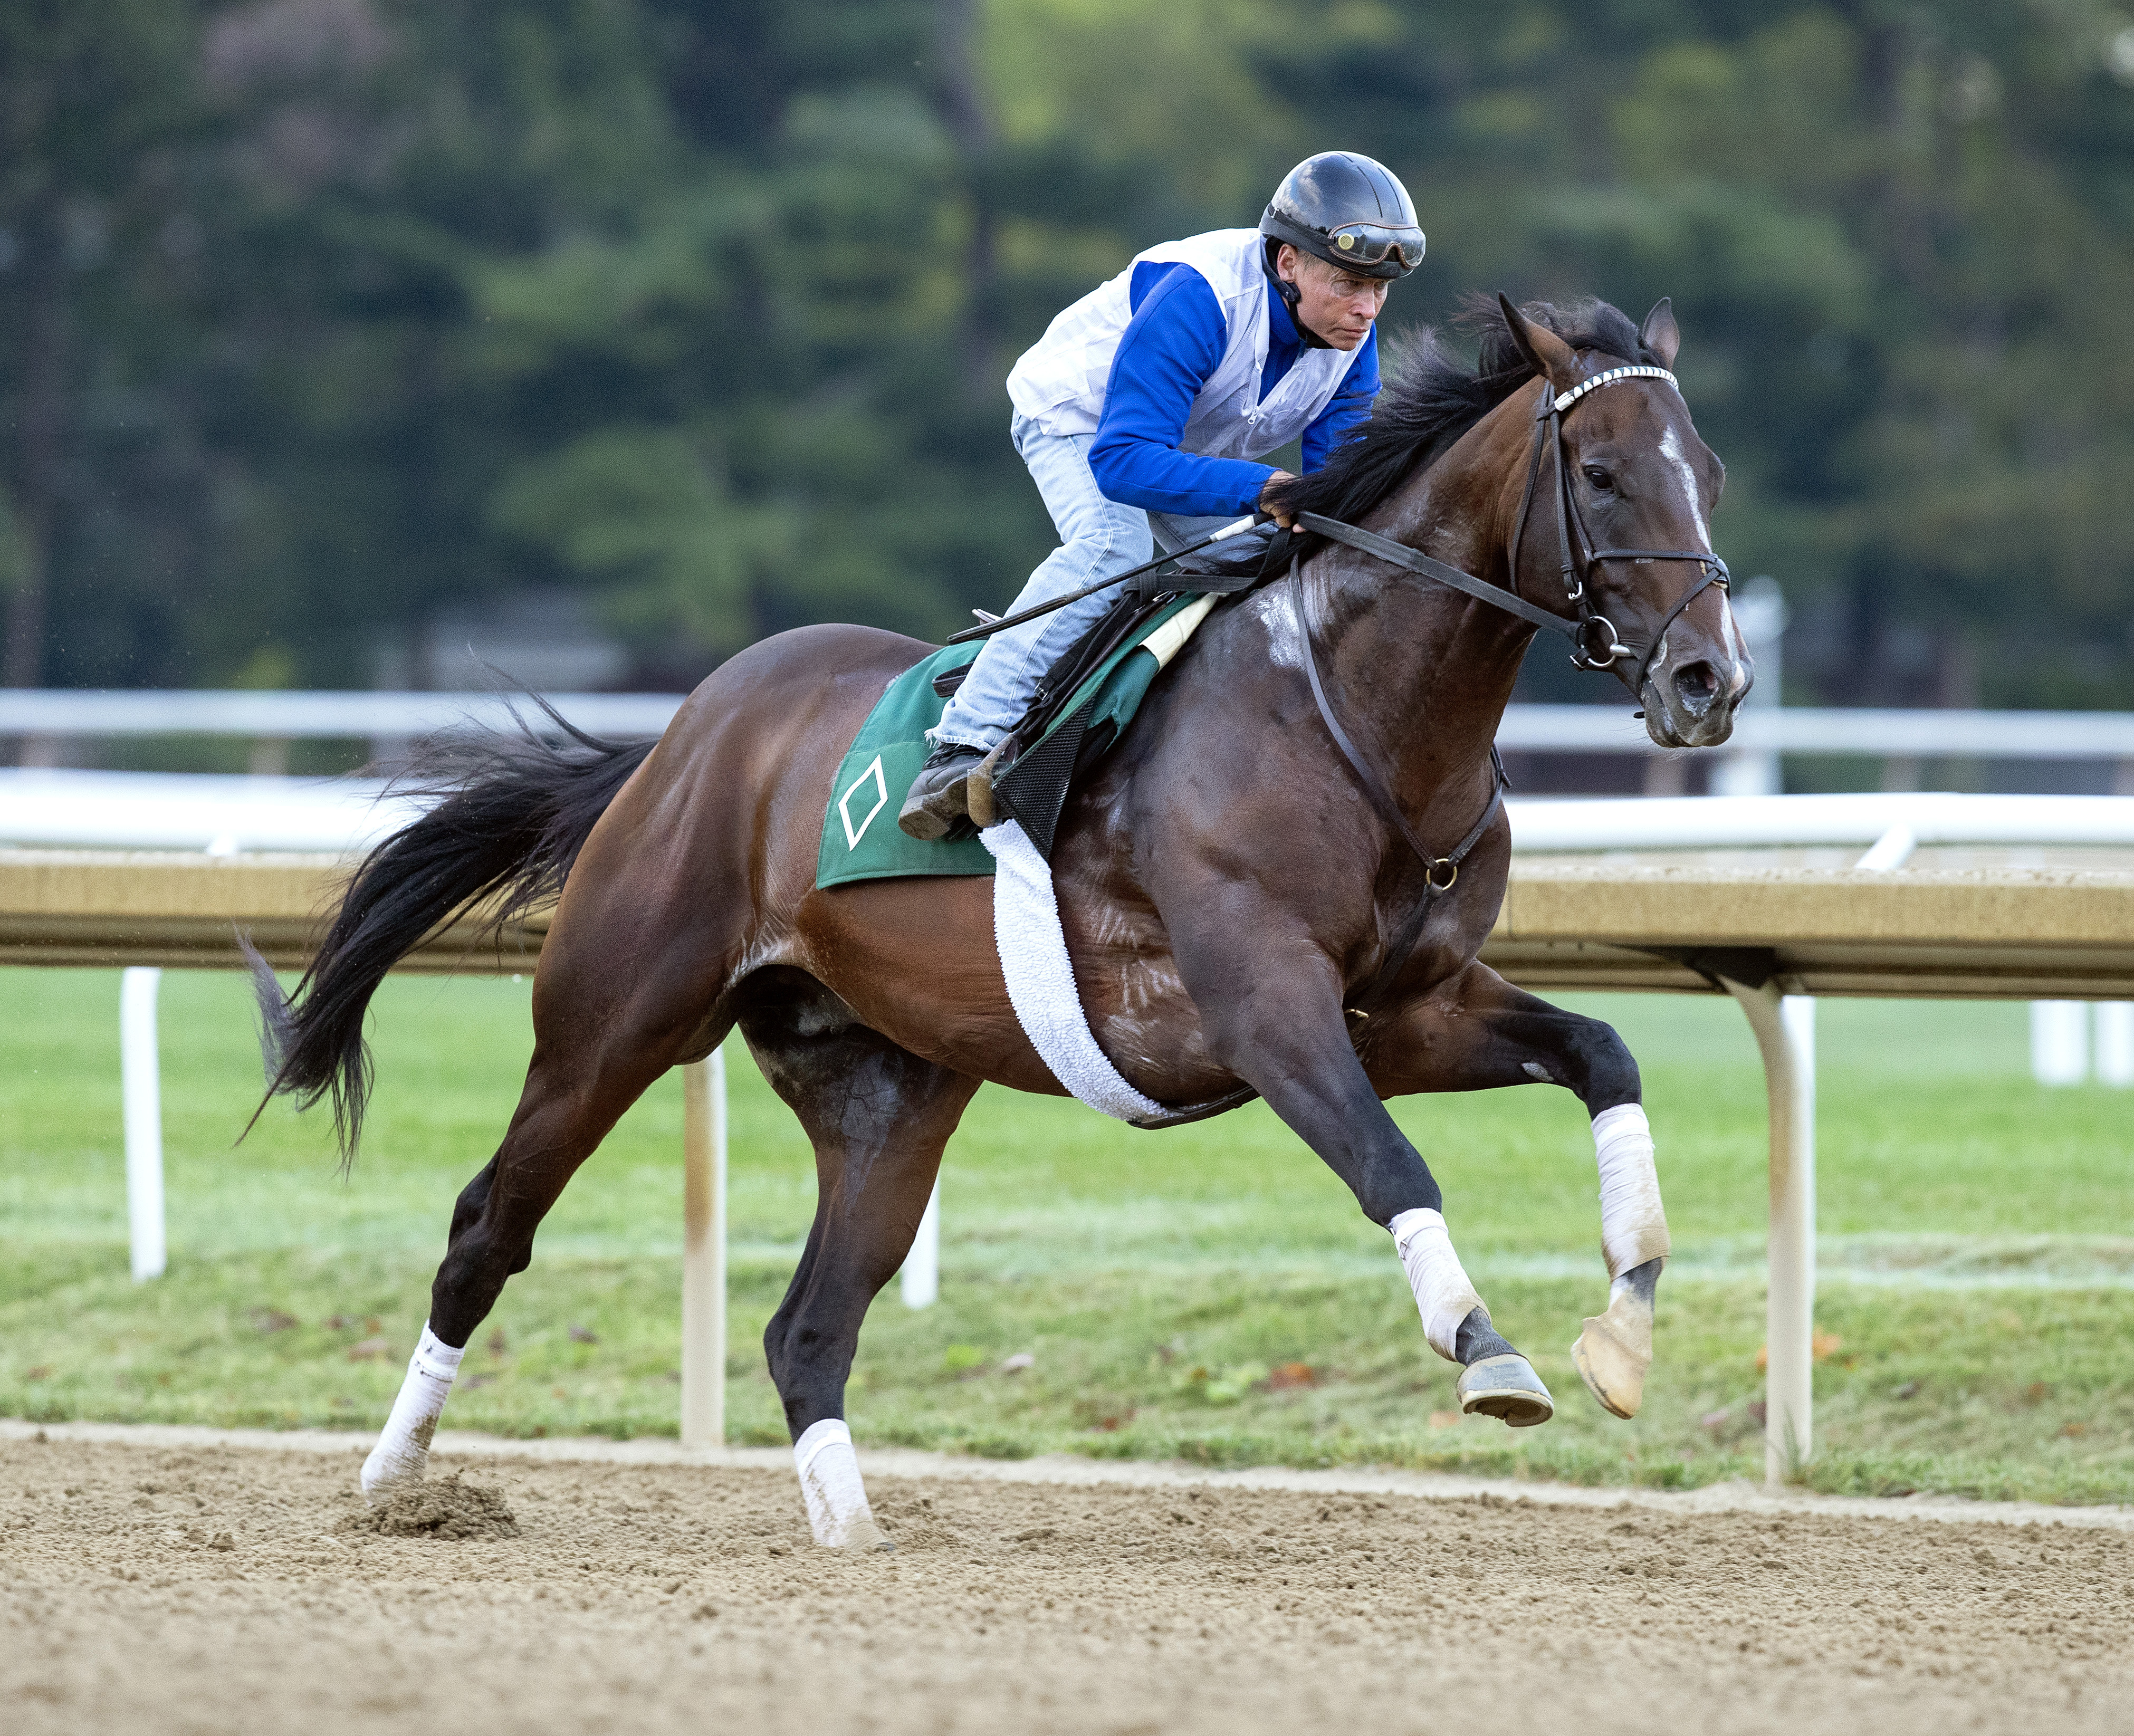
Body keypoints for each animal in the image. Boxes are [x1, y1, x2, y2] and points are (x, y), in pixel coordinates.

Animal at [252, 294, 1747, 1548]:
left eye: (1709, 470)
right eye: (1600, 474)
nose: (1707, 679)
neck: (1353, 721)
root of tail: (679, 738)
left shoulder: (1404, 1010)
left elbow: (1603, 1054)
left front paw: (1623, 1330)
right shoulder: (1263, 1007)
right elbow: (1392, 1164)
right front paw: (1485, 1349)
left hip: (887, 1086)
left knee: (807, 1326)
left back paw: (850, 1527)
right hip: (613, 1022)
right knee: (486, 1231)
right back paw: (396, 1483)